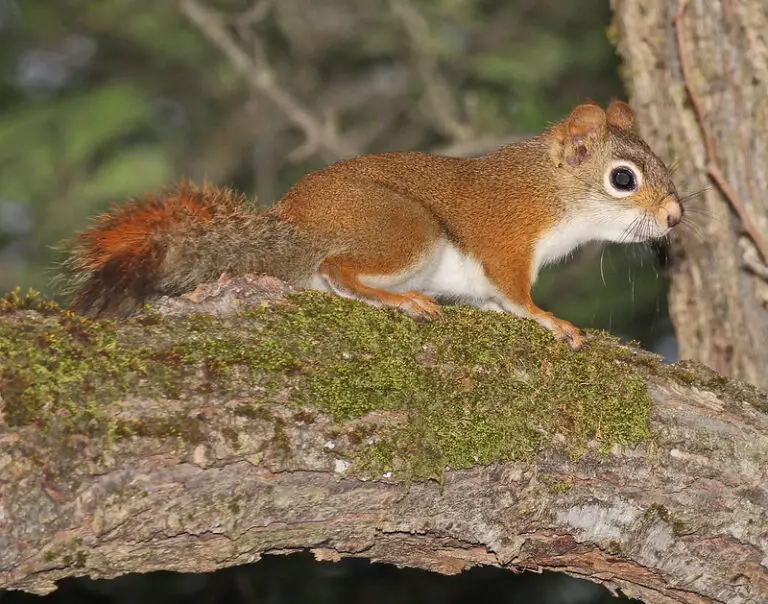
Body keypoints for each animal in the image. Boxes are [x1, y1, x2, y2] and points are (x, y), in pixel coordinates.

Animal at [62, 100, 682, 350]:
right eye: (623, 179)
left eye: (664, 163)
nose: (676, 216)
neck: (550, 191)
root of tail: (296, 229)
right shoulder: (506, 233)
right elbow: (516, 292)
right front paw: (551, 319)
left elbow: (493, 300)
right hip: (403, 229)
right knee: (337, 269)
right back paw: (401, 300)